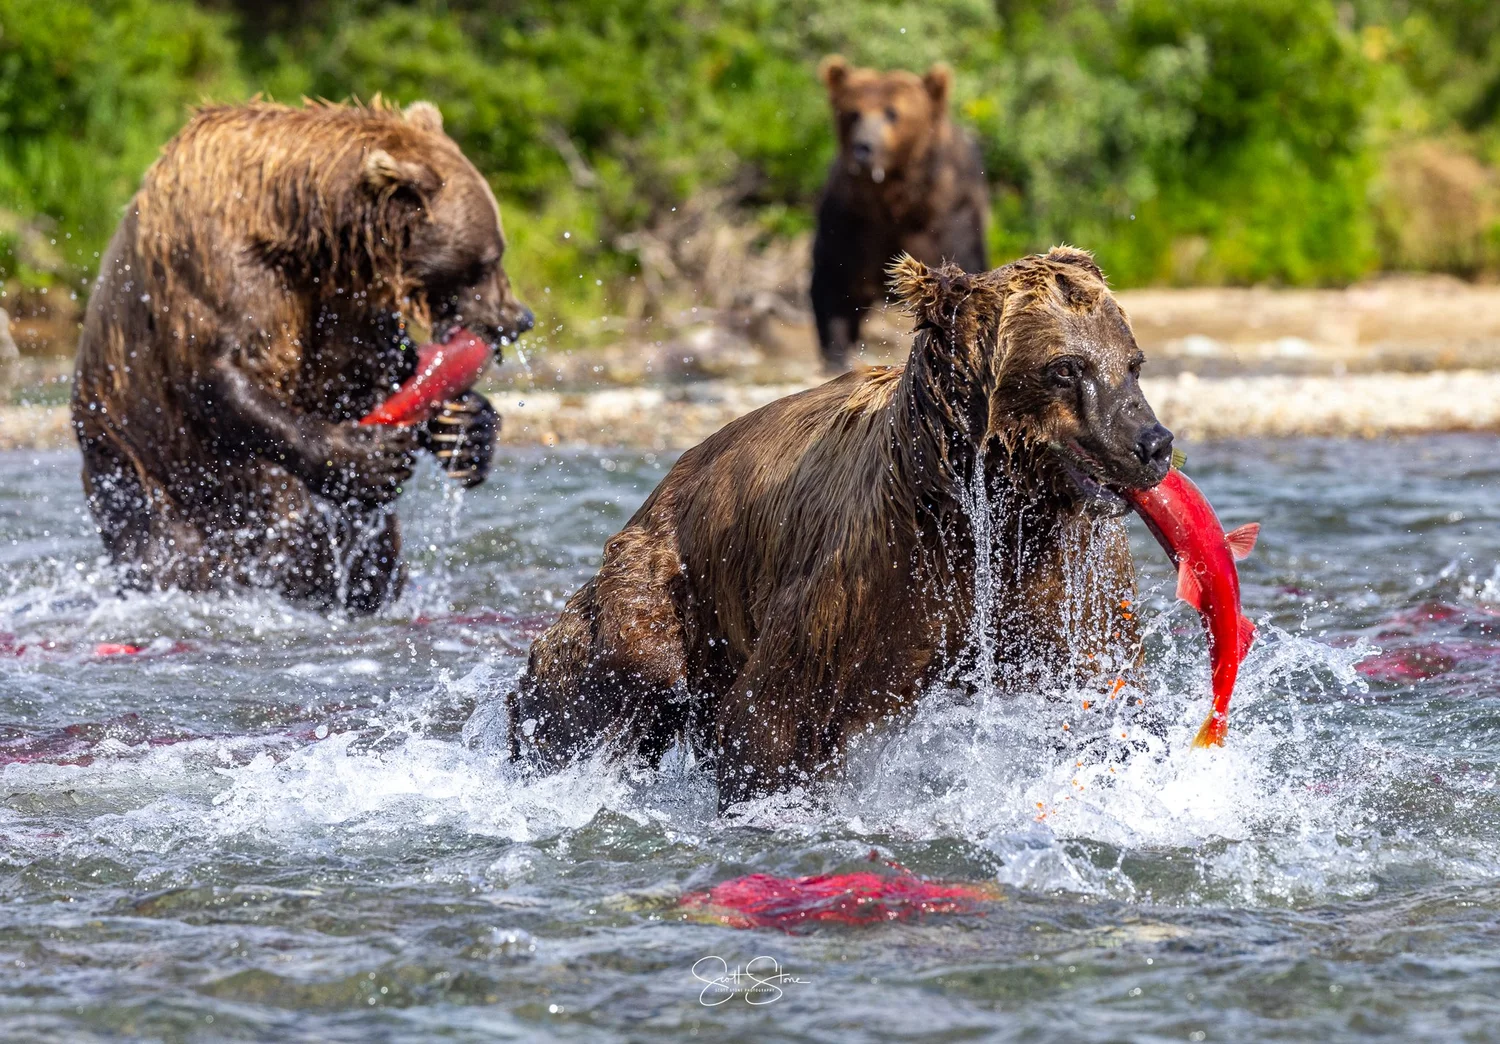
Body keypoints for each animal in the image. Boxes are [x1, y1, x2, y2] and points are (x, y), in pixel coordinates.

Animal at [71, 99, 533, 612]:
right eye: (489, 259)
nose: (518, 317)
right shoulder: (212, 265)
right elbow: (218, 377)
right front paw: (366, 458)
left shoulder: (341, 297)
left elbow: (379, 368)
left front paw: (466, 426)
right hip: (141, 463)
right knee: (203, 537)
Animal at [507, 248, 1175, 810]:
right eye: (1065, 367)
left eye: (1133, 363)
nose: (1152, 443)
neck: (983, 508)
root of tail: (659, 490)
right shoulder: (871, 575)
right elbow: (772, 719)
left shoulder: (1056, 580)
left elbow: (1107, 688)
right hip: (661, 582)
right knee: (611, 678)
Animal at [810, 55, 990, 371]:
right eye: (853, 113)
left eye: (892, 113)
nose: (863, 148)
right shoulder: (849, 220)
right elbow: (835, 280)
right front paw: (836, 351)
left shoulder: (948, 217)